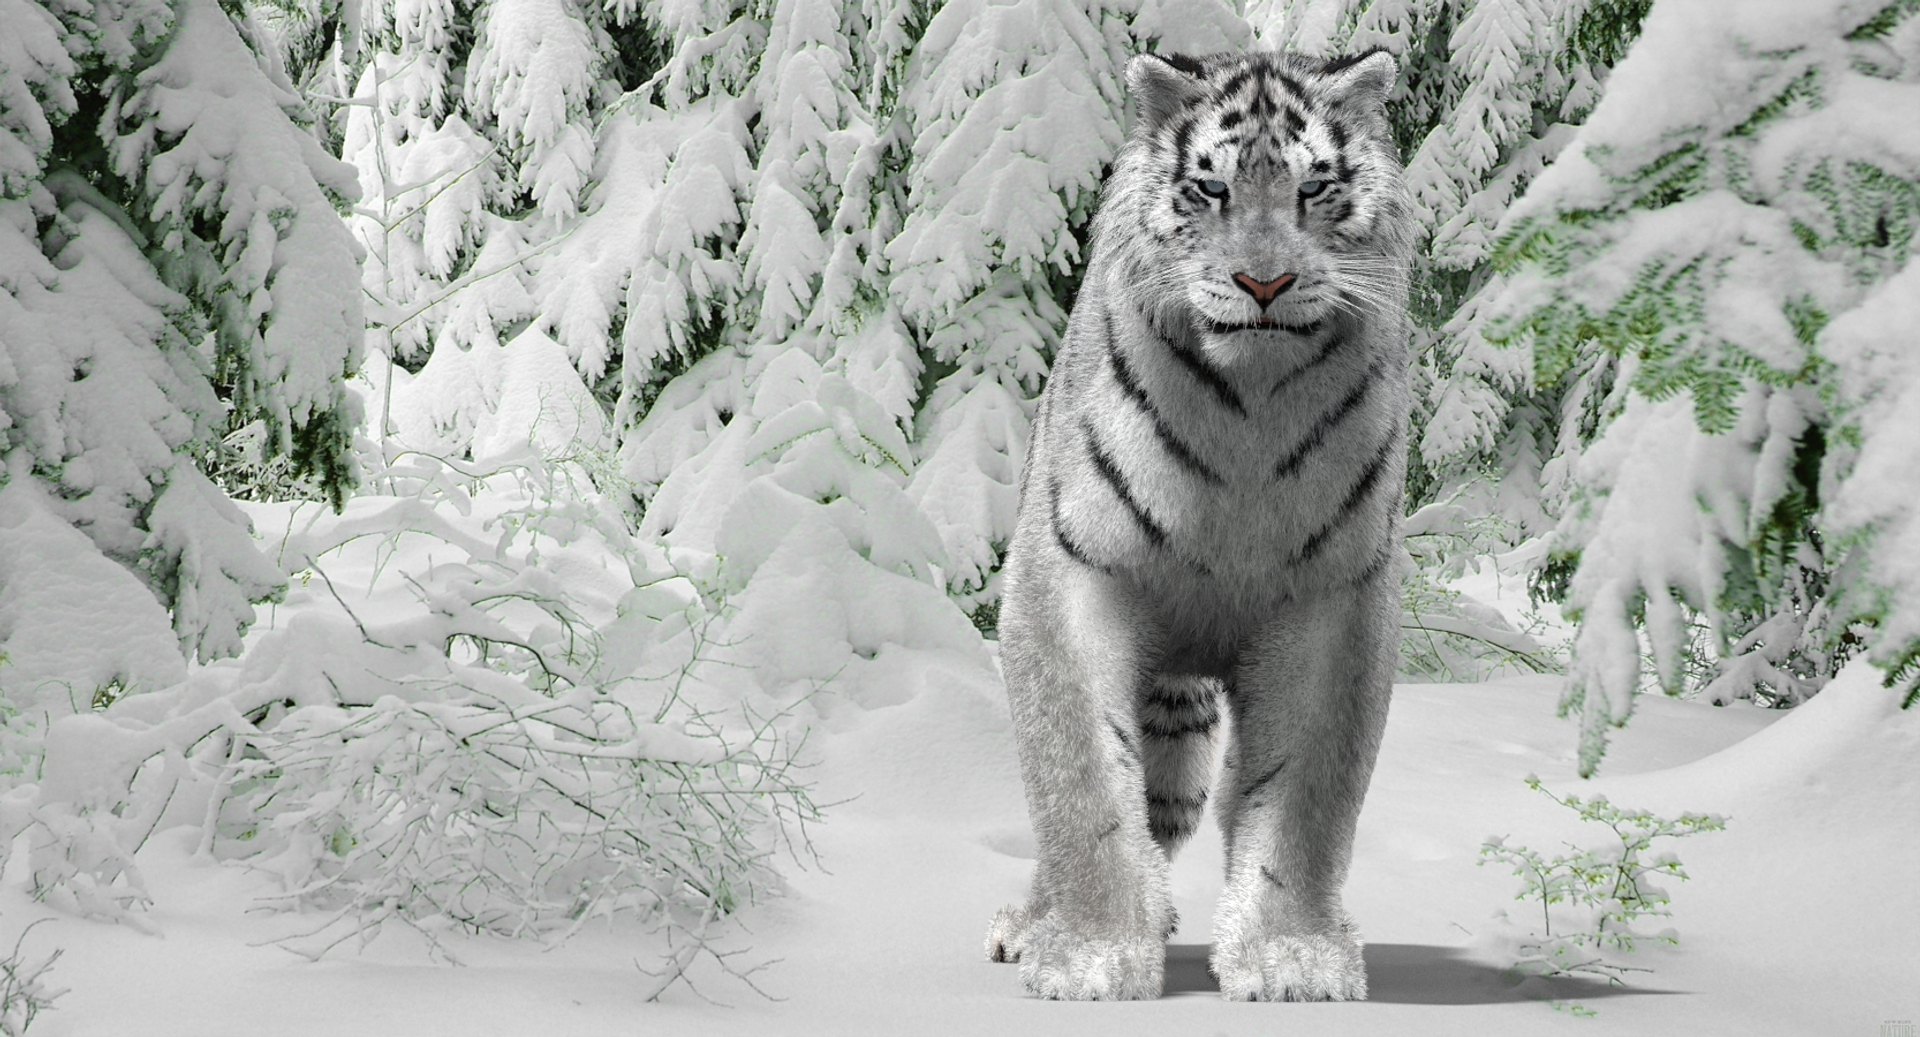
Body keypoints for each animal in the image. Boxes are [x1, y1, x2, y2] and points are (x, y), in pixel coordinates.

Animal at [982, 48, 1414, 1002]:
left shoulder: (1332, 595)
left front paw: (1292, 960)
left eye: (1314, 187)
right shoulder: (1067, 575)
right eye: (1210, 189)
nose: (1265, 281)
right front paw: (1091, 957)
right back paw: (1027, 927)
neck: (1247, 415)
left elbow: (1304, 801)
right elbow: (1082, 785)